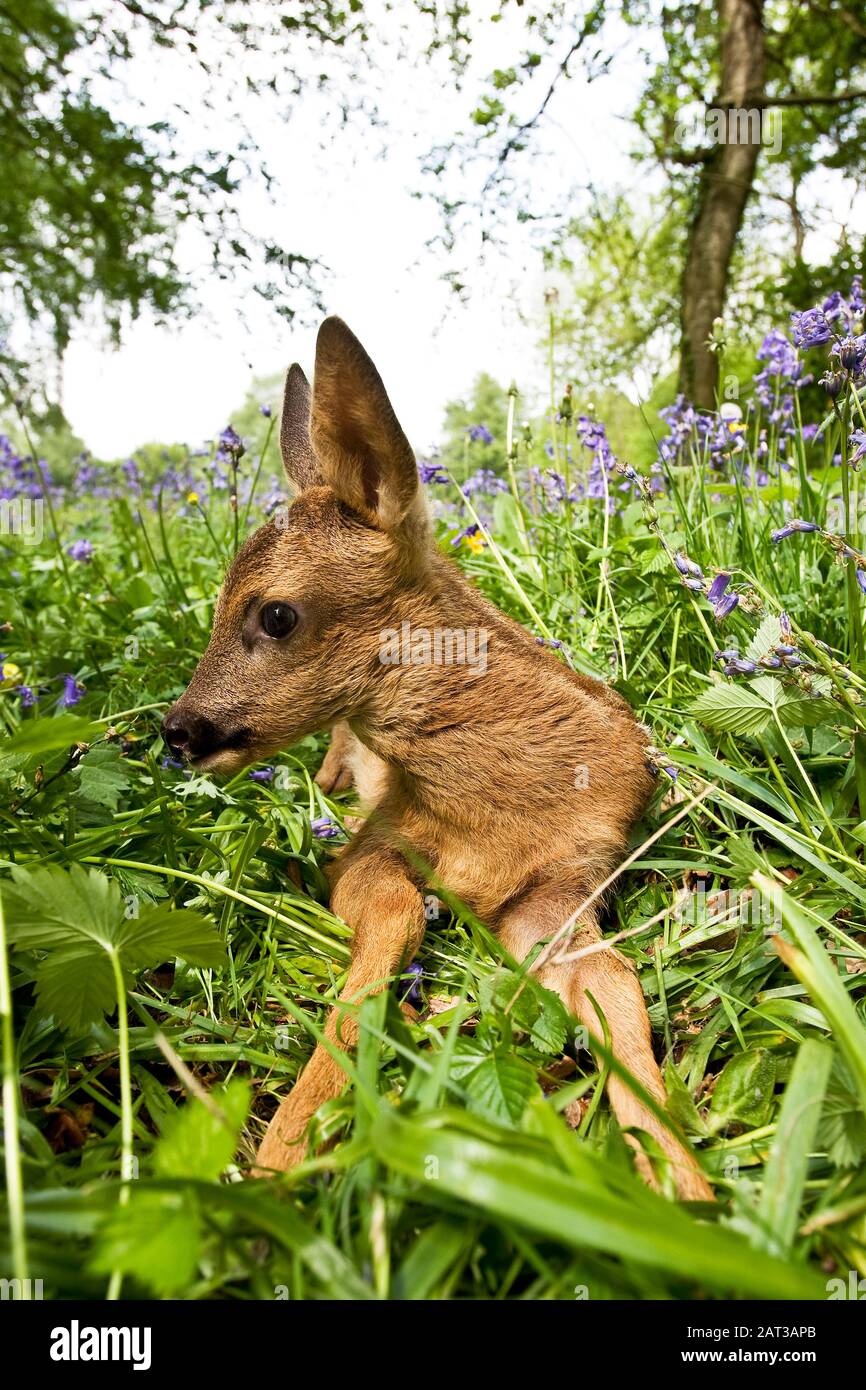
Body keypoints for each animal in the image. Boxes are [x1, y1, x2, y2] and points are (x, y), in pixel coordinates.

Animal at [162, 317, 713, 1201]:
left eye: (275, 614)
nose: (177, 731)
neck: (491, 815)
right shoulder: (372, 845)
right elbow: (397, 915)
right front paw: (287, 1144)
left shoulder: (565, 887)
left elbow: (620, 991)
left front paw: (682, 1187)